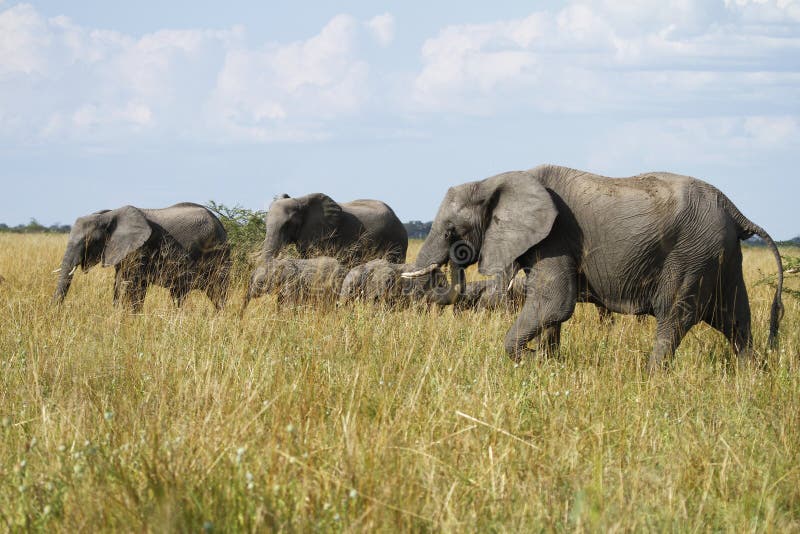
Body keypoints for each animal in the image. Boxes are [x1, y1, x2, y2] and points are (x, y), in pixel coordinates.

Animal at [52, 205, 230, 314]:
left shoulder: (140, 249)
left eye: (89, 241)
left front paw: (131, 317)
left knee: (217, 292)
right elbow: (119, 282)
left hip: (218, 254)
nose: (58, 313)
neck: (109, 215)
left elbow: (133, 284)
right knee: (180, 293)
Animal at [400, 164, 780, 372]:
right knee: (735, 319)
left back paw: (651, 378)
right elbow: (550, 313)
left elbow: (555, 303)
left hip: (692, 254)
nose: (457, 257)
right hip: (721, 255)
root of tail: (735, 210)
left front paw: (532, 359)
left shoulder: (556, 236)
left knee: (674, 317)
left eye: (451, 231)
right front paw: (548, 362)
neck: (495, 180)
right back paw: (751, 376)